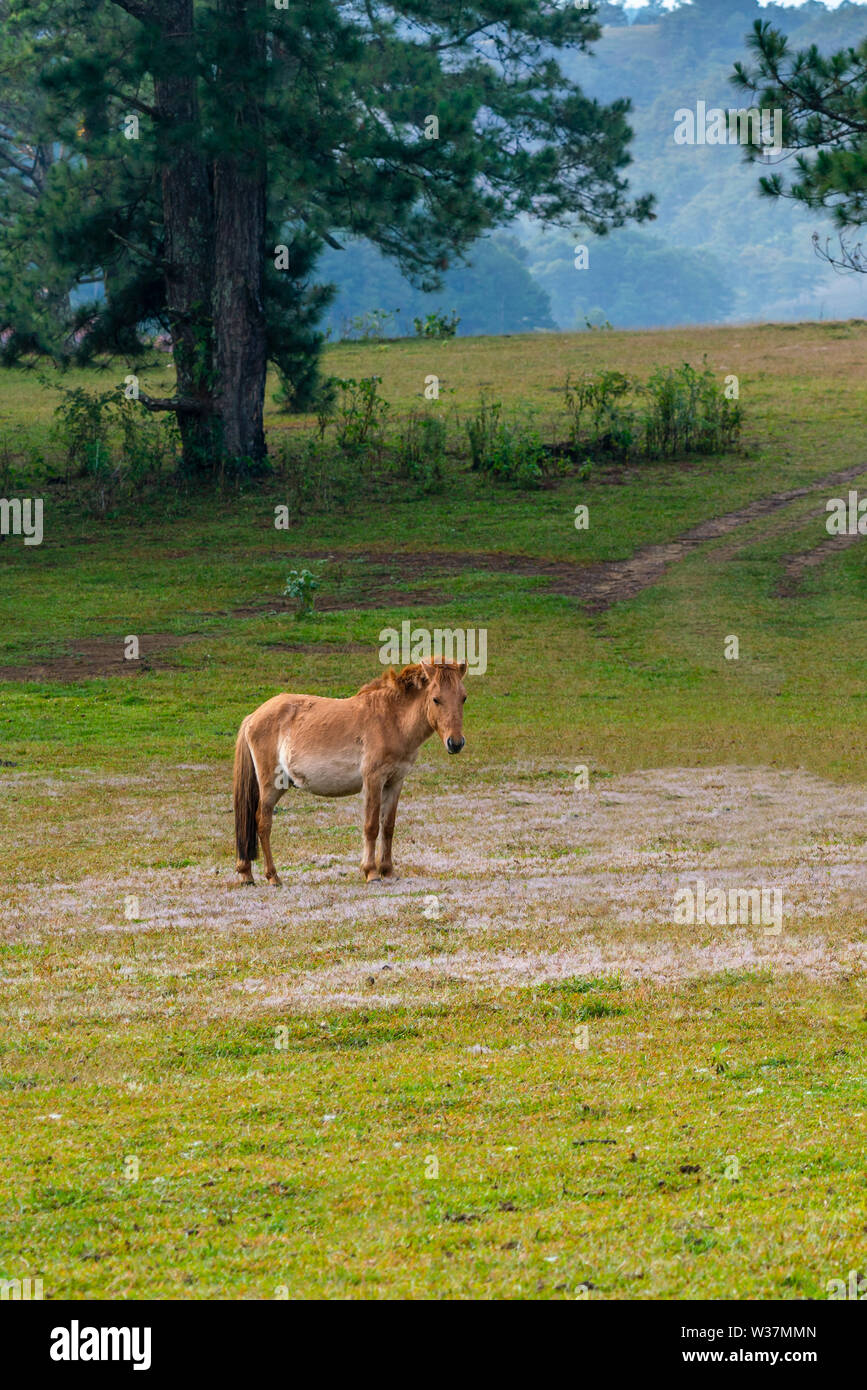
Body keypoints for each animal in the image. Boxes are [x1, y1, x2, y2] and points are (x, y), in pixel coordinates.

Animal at [233, 658, 467, 884]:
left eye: (463, 698)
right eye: (436, 699)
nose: (455, 743)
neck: (391, 720)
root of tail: (253, 716)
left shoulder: (395, 782)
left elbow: (388, 826)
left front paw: (388, 871)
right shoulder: (373, 781)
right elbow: (371, 826)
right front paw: (371, 872)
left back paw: (247, 874)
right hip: (271, 786)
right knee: (263, 823)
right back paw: (272, 876)